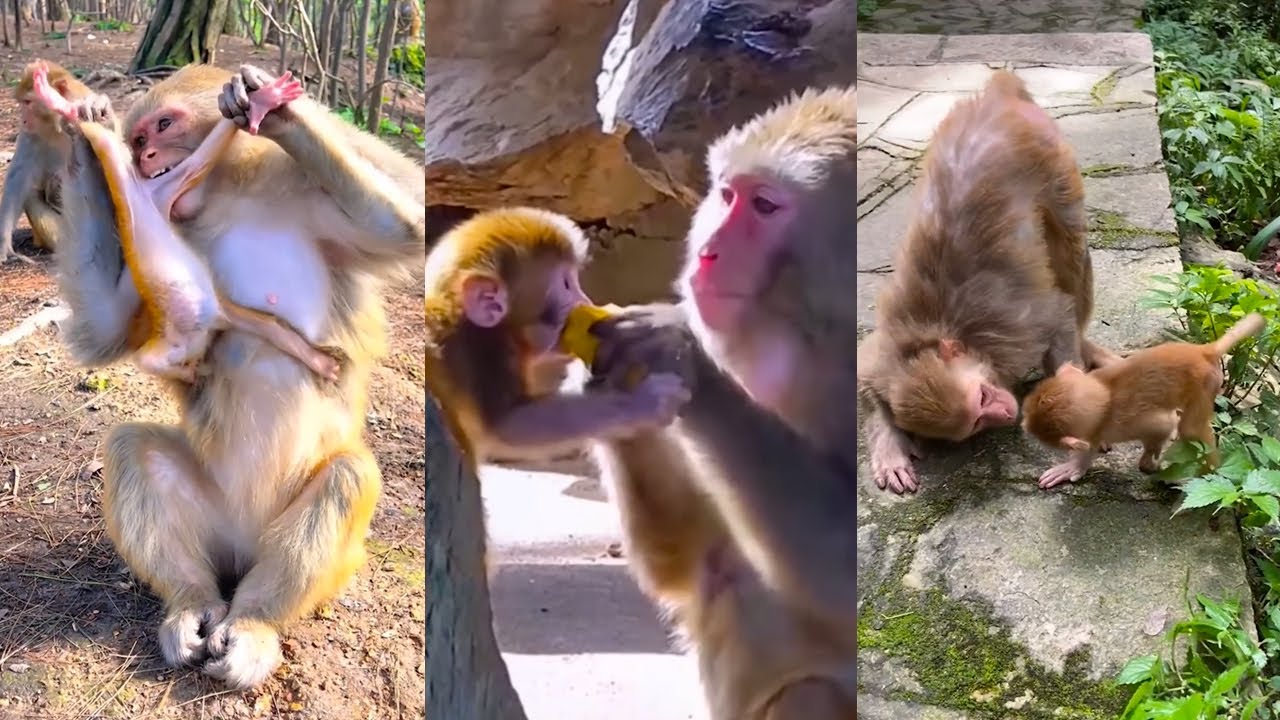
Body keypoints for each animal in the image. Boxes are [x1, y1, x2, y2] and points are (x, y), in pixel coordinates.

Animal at [0, 60, 113, 263]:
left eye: (28, 103)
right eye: (21, 103)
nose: (23, 120)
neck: (58, 123)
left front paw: (101, 109)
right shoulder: (32, 133)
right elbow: (18, 177)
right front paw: (4, 245)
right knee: (32, 193)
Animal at [30, 64, 344, 385]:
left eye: (159, 129)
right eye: (140, 141)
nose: (147, 155)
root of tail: (213, 319)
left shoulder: (160, 187)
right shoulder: (160, 188)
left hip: (215, 308)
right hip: (199, 323)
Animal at [576, 86, 873, 720]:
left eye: (764, 206)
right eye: (727, 195)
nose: (708, 252)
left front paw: (680, 351)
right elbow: (687, 559)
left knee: (812, 695)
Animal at [856, 69, 1121, 495]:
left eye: (982, 397)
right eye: (977, 421)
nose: (1007, 412)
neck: (948, 331)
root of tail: (996, 97)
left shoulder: (1017, 326)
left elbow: (1058, 317)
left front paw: (1079, 444)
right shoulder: (888, 351)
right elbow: (863, 370)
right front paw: (890, 446)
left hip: (1053, 160)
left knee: (1070, 258)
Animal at [1021, 313, 1265, 489]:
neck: (1105, 394)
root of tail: (1203, 351)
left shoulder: (1121, 424)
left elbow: (1162, 425)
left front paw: (1077, 465)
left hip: (1208, 383)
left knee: (1191, 428)